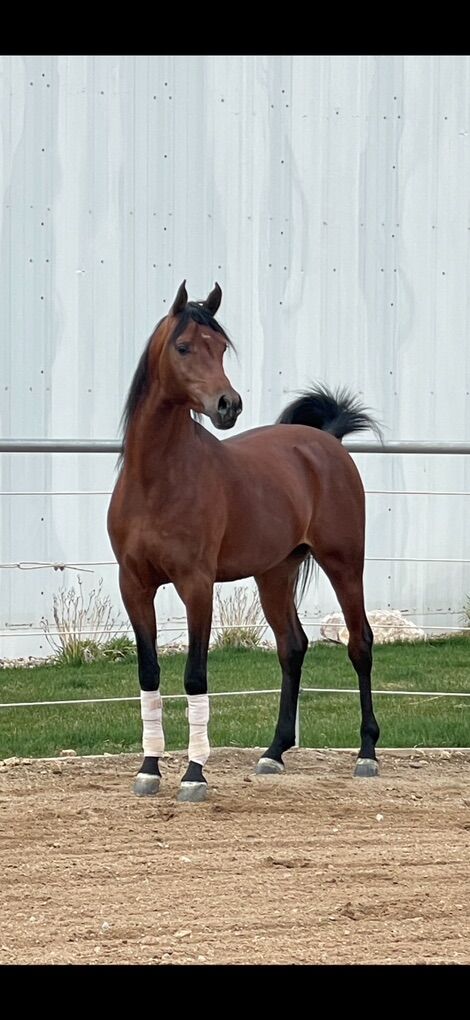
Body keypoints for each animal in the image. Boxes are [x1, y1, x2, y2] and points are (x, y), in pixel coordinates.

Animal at [107, 281, 381, 802]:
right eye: (183, 346)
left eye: (220, 347)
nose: (227, 405)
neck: (157, 479)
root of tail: (326, 442)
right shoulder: (134, 585)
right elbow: (149, 673)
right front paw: (149, 769)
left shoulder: (196, 585)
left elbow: (195, 675)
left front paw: (194, 774)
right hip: (275, 572)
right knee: (292, 647)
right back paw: (274, 753)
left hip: (344, 563)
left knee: (360, 643)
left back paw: (367, 754)